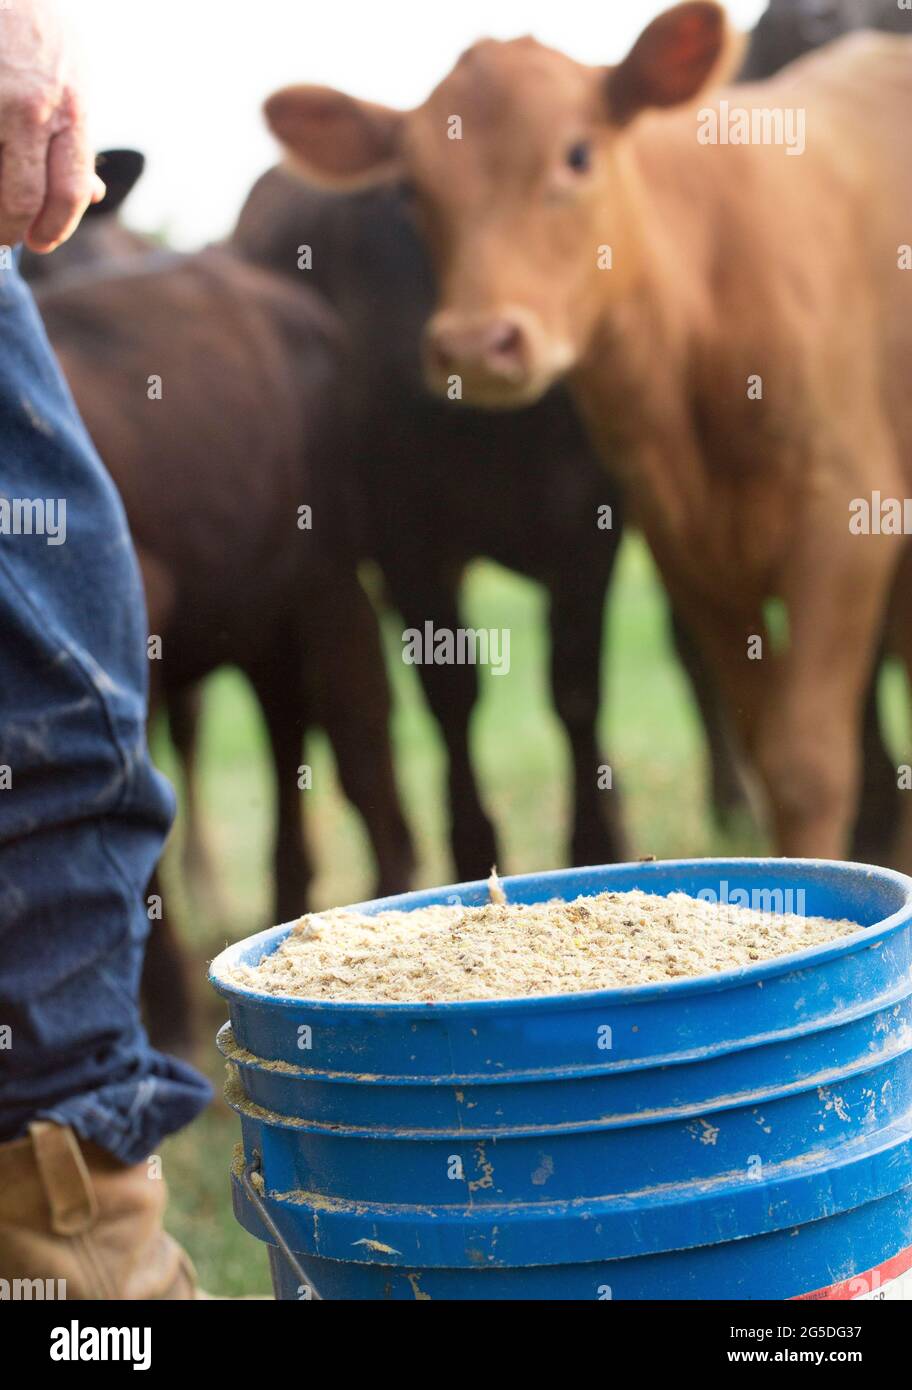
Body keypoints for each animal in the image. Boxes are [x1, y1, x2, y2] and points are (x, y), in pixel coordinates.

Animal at [262, 1, 912, 865]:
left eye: (577, 154)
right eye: (409, 188)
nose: (476, 343)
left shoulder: (844, 527)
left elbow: (804, 763)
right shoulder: (692, 561)